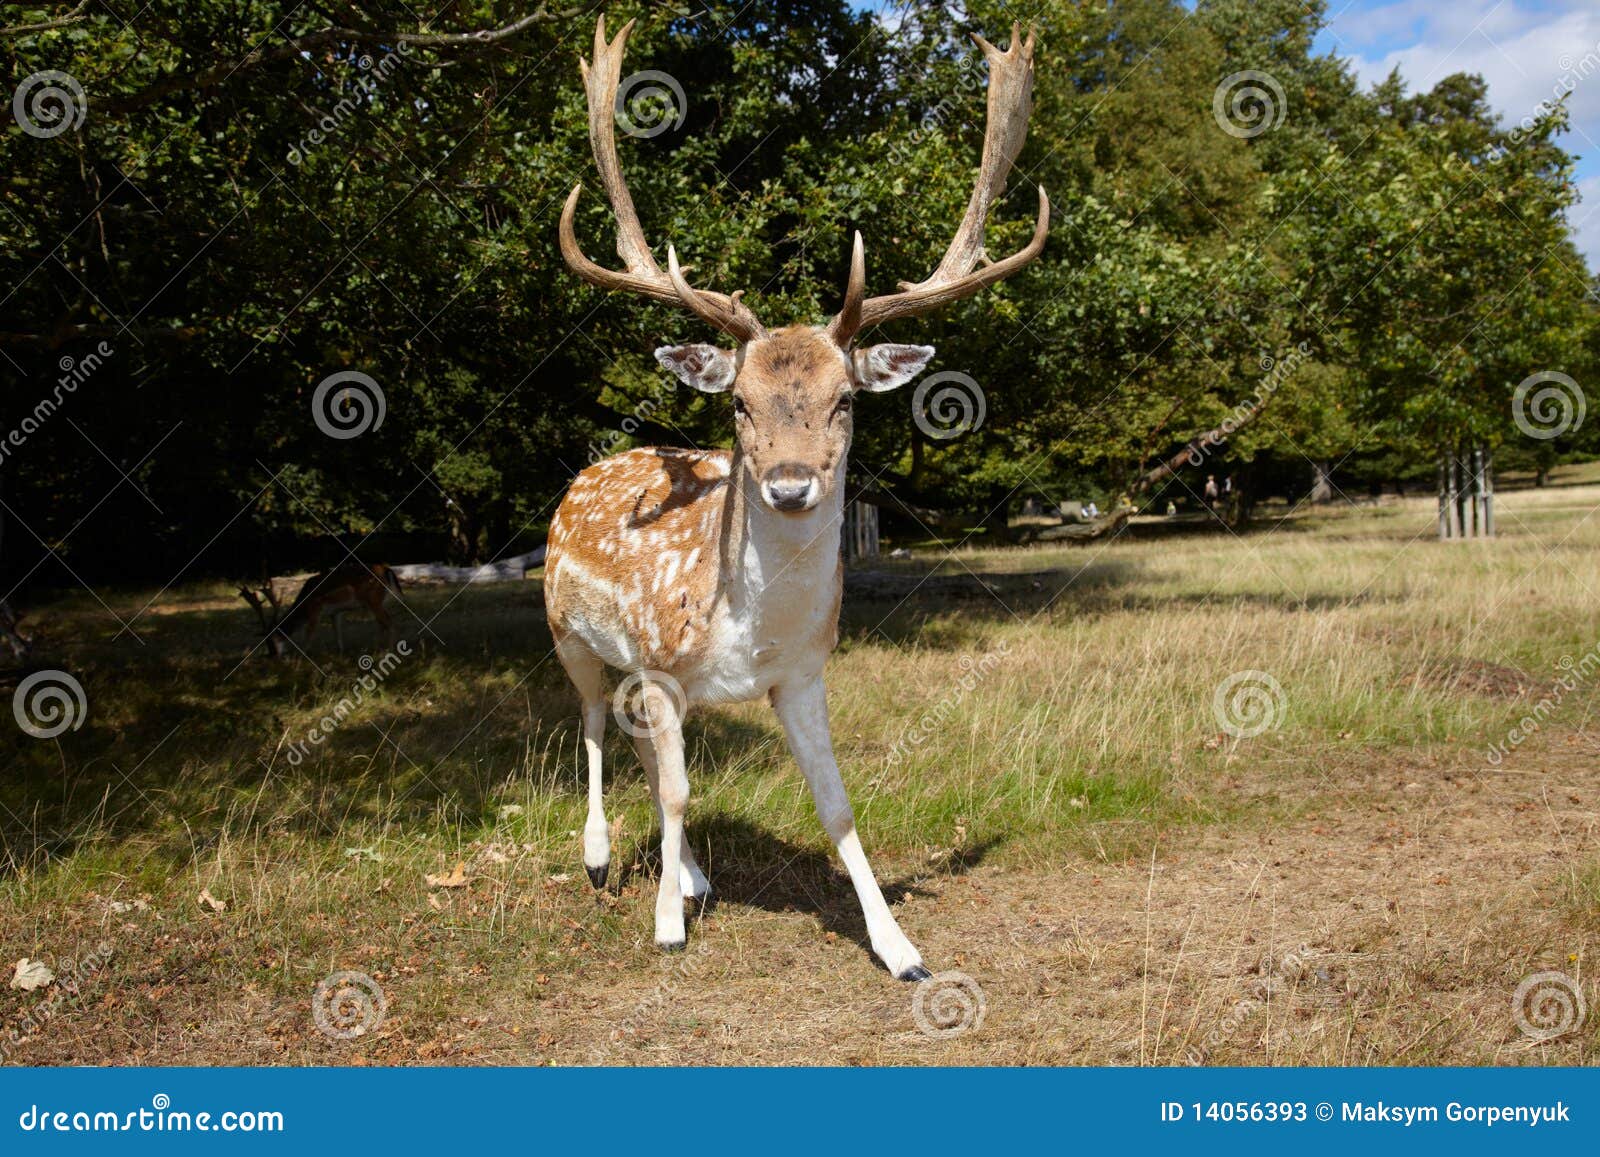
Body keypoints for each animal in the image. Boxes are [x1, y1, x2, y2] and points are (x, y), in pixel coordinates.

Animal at [240, 561, 402, 658]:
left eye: (271, 641)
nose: (273, 657)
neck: (304, 603)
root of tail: (386, 569)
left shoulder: (315, 608)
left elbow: (309, 633)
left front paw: (301, 657)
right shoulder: (335, 612)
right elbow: (337, 633)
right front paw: (340, 653)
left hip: (373, 600)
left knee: (389, 622)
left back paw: (388, 651)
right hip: (378, 601)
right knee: (382, 623)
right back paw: (377, 649)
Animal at [544, 15, 1046, 979]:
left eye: (845, 398)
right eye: (739, 401)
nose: (786, 483)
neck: (749, 629)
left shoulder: (806, 671)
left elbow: (835, 800)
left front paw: (900, 948)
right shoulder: (662, 663)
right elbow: (677, 789)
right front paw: (665, 925)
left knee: (631, 740)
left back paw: (694, 876)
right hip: (567, 632)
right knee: (589, 722)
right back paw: (598, 859)